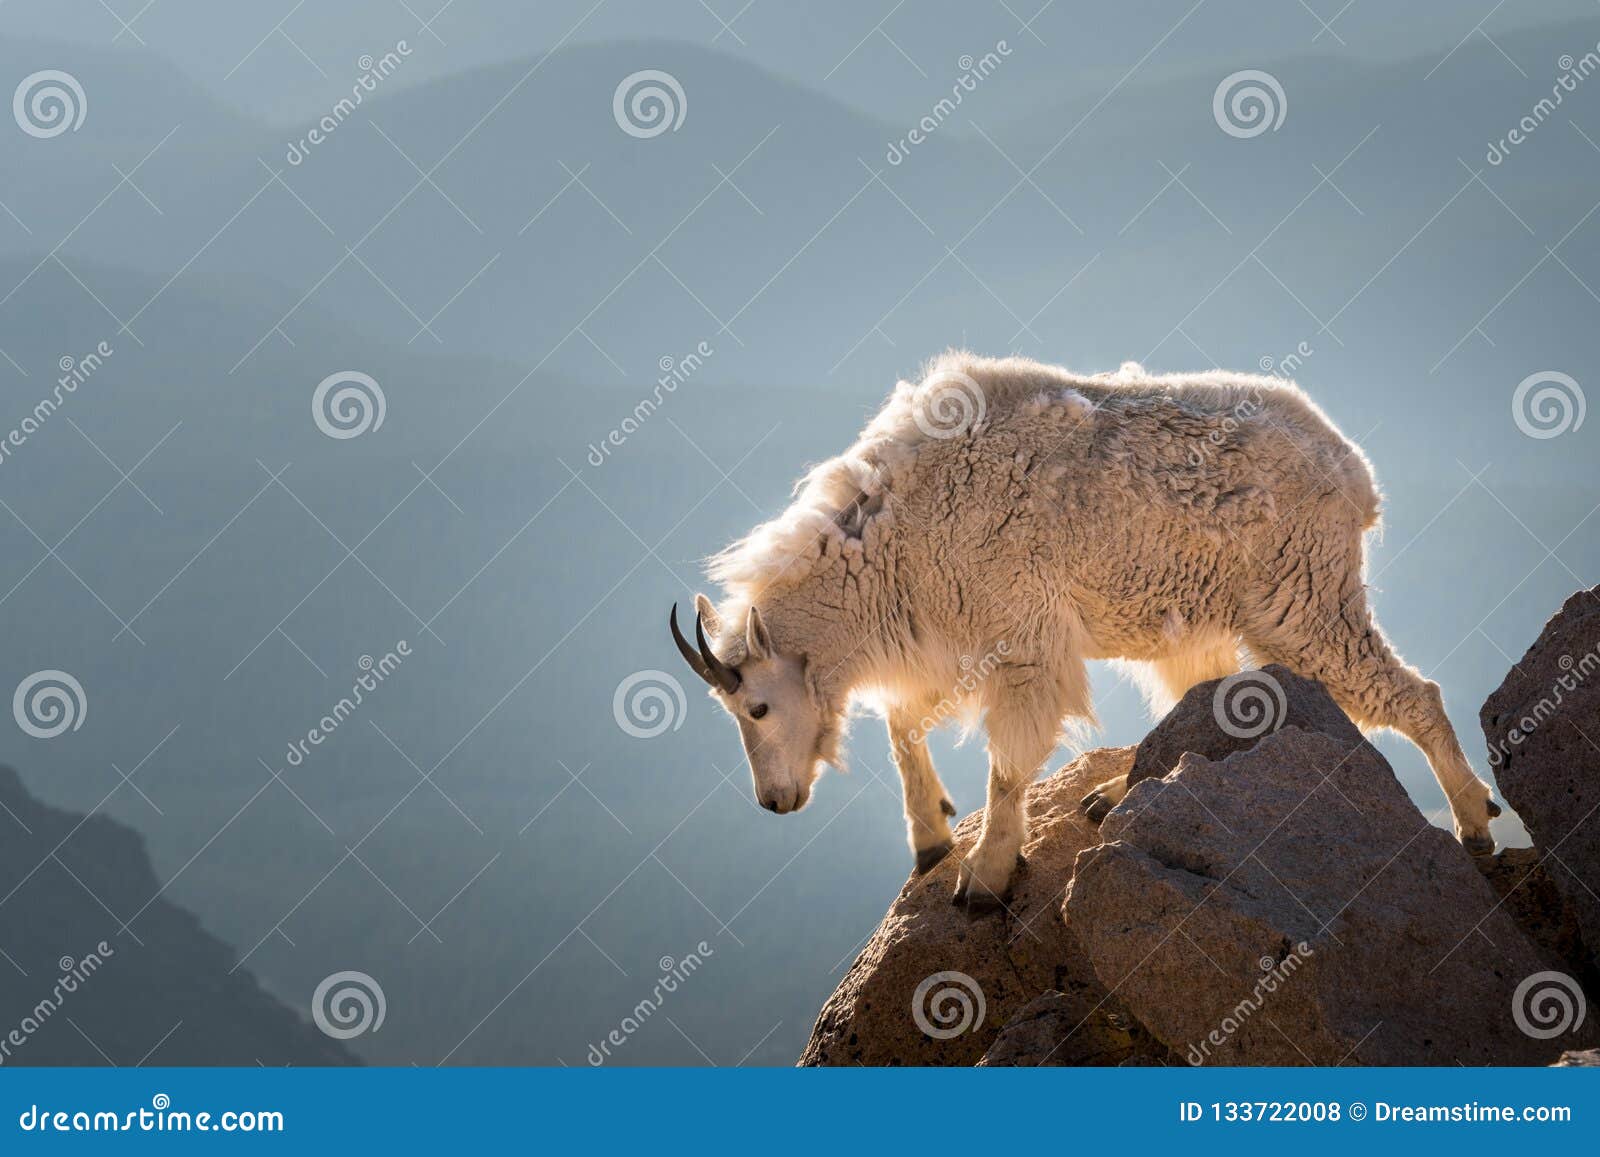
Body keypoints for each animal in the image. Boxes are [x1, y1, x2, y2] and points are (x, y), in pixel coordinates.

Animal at [669, 352, 1499, 911]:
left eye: (757, 707)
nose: (775, 800)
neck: (895, 535)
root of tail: (1353, 469)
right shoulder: (944, 642)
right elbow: (905, 723)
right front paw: (932, 836)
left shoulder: (1021, 636)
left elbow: (1009, 762)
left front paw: (983, 878)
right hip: (1206, 616)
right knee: (1203, 696)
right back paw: (1108, 792)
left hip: (1303, 599)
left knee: (1411, 693)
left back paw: (1476, 821)